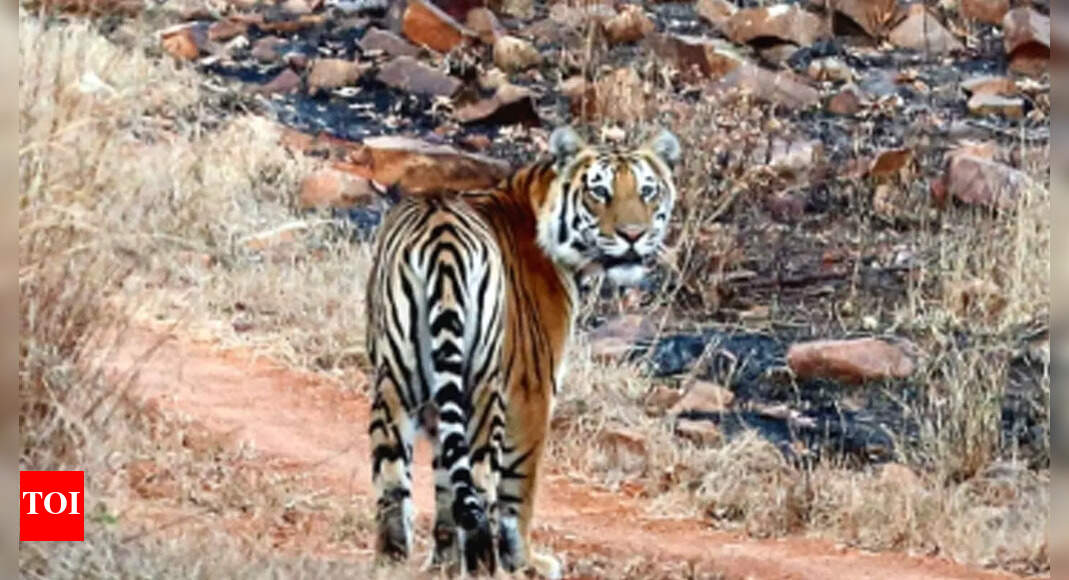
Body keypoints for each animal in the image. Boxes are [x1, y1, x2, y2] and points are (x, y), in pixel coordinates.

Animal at [365, 125, 682, 577]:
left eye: (647, 191)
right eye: (599, 192)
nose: (633, 235)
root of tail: (441, 231)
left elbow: (444, 485)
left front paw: (444, 563)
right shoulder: (533, 391)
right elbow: (519, 489)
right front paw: (525, 562)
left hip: (396, 380)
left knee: (392, 480)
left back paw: (390, 561)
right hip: (483, 385)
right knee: (481, 485)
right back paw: (486, 564)